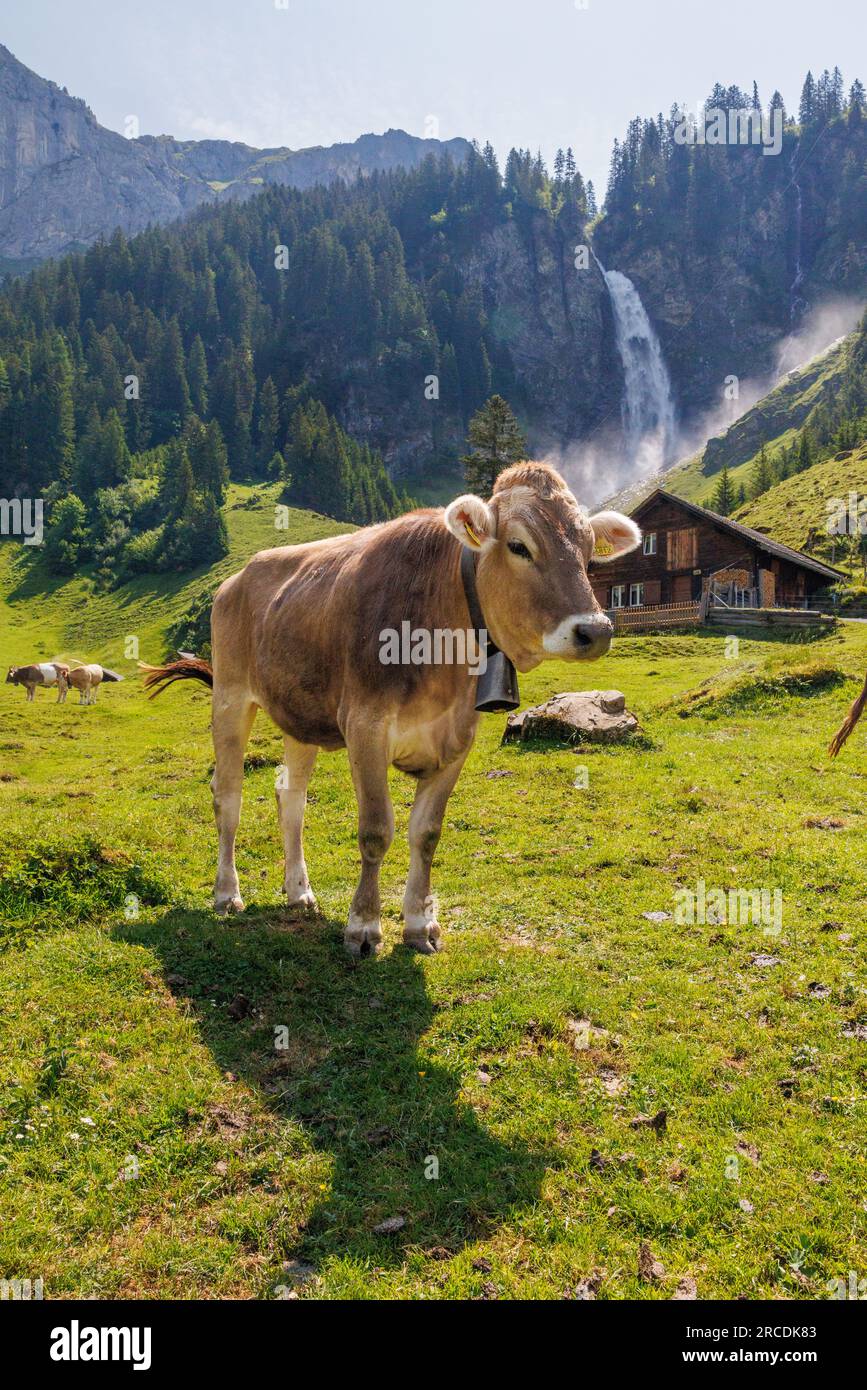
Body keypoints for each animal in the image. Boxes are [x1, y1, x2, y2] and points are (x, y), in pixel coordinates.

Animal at [141, 462, 641, 956]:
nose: (595, 631)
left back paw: (299, 891)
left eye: (587, 553)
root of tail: (237, 578)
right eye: (519, 546)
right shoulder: (366, 725)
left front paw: (420, 923)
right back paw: (227, 893)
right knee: (228, 795)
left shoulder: (458, 737)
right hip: (230, 696)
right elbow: (376, 829)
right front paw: (363, 927)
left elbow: (427, 833)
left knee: (291, 797)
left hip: (300, 714)